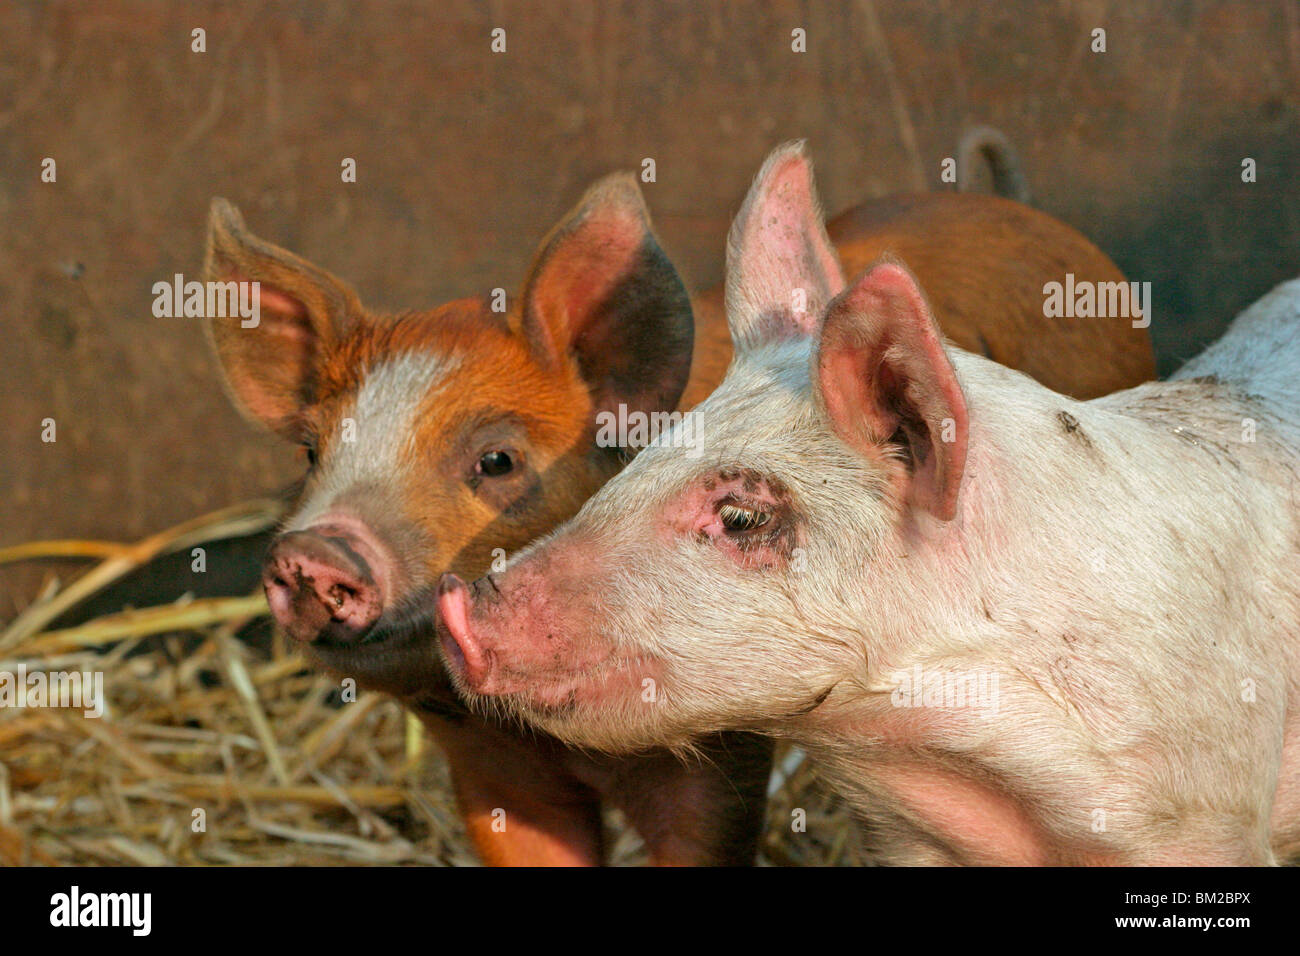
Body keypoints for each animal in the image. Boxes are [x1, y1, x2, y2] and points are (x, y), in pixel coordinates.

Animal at [204, 141, 1154, 865]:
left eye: (497, 460)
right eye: (311, 452)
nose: (313, 551)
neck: (548, 742)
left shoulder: (716, 757)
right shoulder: (491, 773)